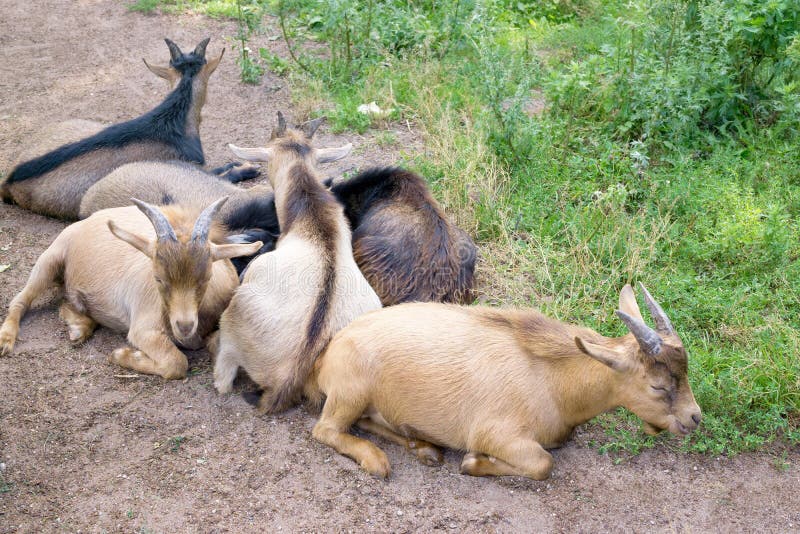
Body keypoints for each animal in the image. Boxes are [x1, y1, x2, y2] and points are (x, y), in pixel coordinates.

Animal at [0, 198, 262, 379]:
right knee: (20, 300)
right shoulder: (143, 329)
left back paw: (79, 328)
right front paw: (121, 355)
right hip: (50, 258)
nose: (184, 326)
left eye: (206, 278)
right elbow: (176, 363)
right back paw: (6, 341)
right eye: (158, 279)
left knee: (68, 301)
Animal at [306, 283, 702, 480]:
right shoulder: (496, 433)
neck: (553, 383)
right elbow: (542, 465)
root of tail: (328, 354)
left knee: (369, 421)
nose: (694, 418)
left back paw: (425, 447)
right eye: (658, 386)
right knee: (325, 429)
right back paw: (376, 459)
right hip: (351, 392)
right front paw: (473, 464)